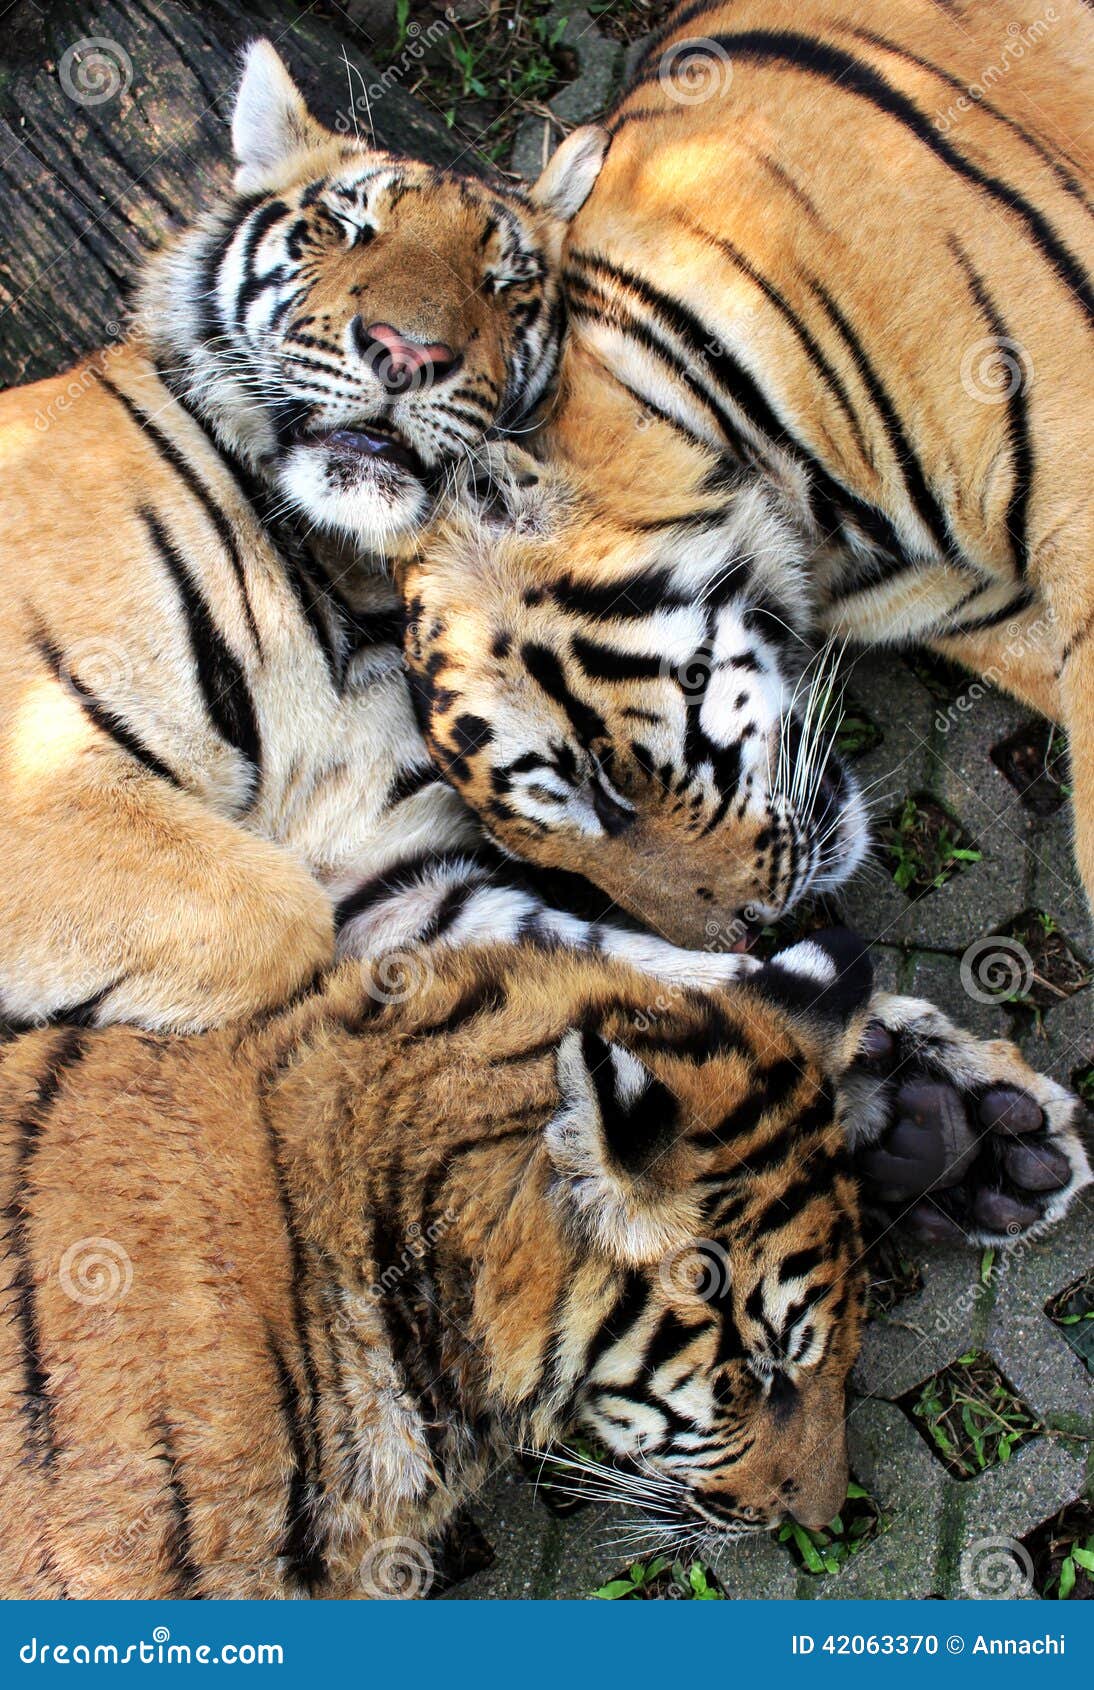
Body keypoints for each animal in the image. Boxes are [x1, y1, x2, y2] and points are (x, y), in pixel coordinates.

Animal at [0, 39, 626, 1033]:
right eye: (348, 228)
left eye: (505, 282)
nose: (408, 352)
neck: (347, 585)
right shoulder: (38, 764)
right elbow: (279, 914)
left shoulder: (390, 868)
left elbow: (633, 964)